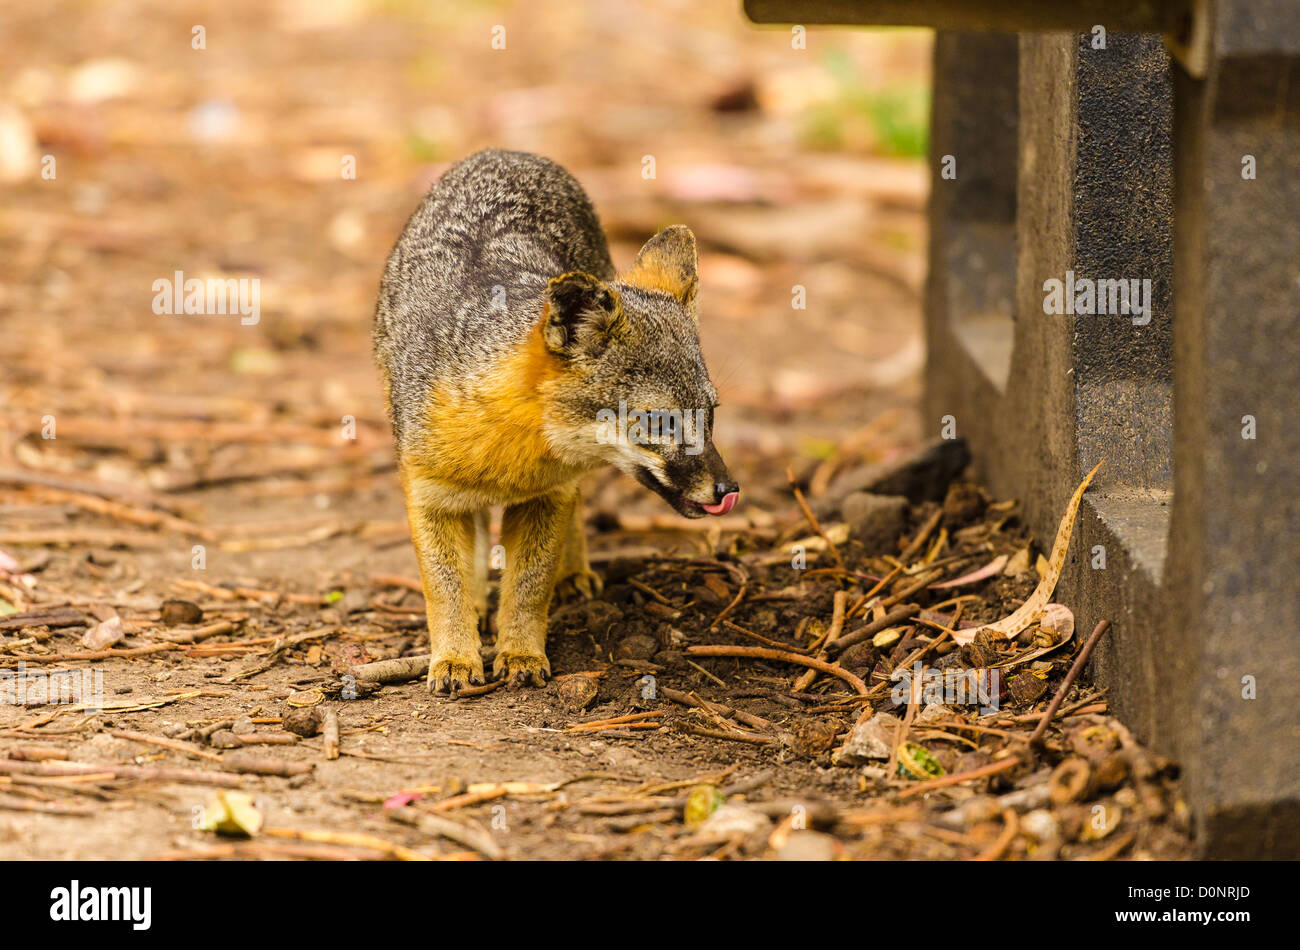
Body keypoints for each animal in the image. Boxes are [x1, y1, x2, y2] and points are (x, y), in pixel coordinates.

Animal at [373, 149, 740, 694]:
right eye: (659, 421)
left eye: (710, 413)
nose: (728, 490)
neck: (508, 448)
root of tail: (511, 153)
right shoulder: (429, 495)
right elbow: (445, 589)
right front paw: (455, 657)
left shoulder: (549, 496)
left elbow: (529, 588)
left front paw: (521, 653)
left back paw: (572, 573)